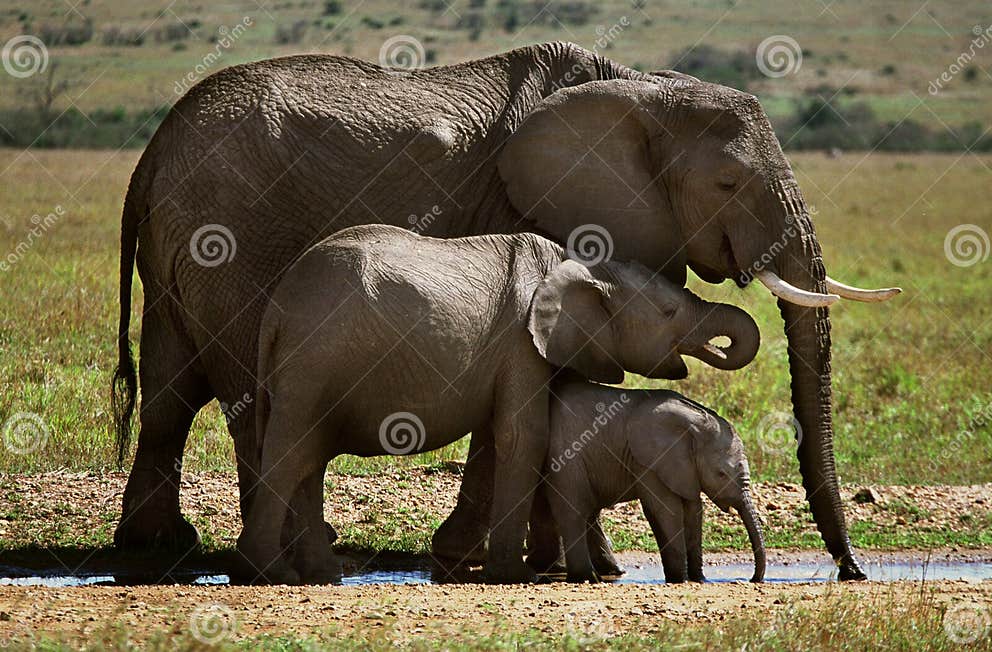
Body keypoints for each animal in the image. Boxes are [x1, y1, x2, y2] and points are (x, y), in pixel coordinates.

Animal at [538, 375, 765, 583]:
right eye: (721, 474)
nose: (753, 579)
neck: (693, 422)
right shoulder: (649, 461)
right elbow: (666, 509)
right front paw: (680, 580)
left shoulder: (684, 469)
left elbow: (693, 510)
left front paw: (699, 580)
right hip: (564, 456)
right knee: (574, 511)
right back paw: (587, 577)